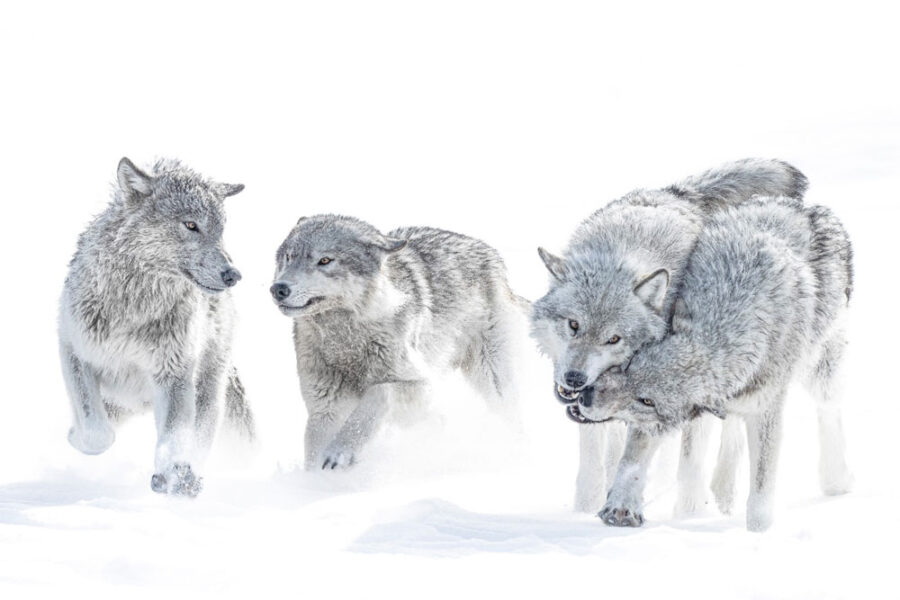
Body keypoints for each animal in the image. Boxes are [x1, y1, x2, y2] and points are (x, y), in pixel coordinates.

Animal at [58, 157, 254, 497]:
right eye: (191, 225)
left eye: (221, 230)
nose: (233, 275)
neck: (136, 305)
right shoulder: (73, 349)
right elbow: (97, 433)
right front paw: (76, 435)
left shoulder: (174, 375)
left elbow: (175, 438)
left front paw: (174, 475)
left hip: (208, 388)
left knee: (199, 437)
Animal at [270, 215, 526, 470]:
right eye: (289, 257)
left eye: (325, 260)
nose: (278, 289)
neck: (347, 343)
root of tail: (491, 255)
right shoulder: (325, 409)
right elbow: (314, 451)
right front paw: (316, 478)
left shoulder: (421, 384)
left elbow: (379, 392)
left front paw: (339, 451)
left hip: (494, 382)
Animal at [531, 158, 808, 516]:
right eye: (574, 325)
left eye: (614, 339)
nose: (574, 378)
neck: (621, 254)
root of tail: (679, 192)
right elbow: (594, 455)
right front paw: (585, 507)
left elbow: (660, 451)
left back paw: (716, 497)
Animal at [578, 197, 854, 531]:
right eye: (628, 365)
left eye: (647, 400)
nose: (585, 396)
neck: (727, 320)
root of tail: (809, 207)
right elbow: (633, 461)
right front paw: (621, 506)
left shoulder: (764, 411)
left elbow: (760, 495)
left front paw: (758, 535)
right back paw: (718, 495)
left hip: (820, 375)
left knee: (829, 412)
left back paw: (836, 480)